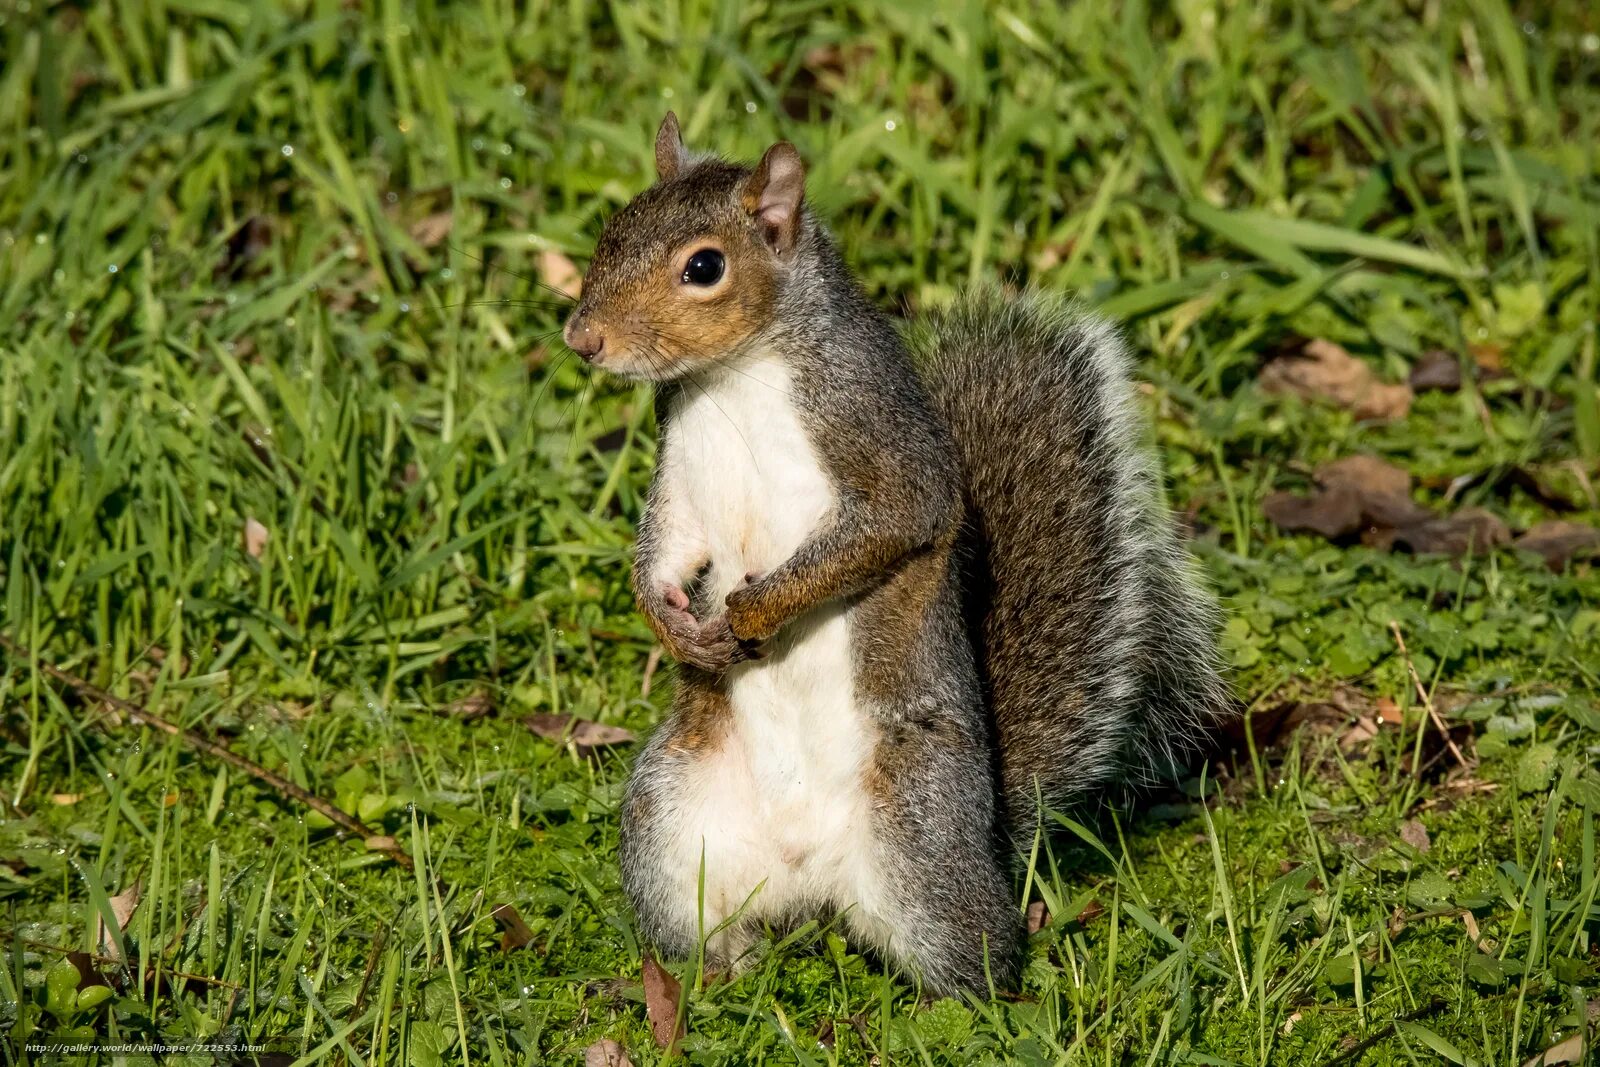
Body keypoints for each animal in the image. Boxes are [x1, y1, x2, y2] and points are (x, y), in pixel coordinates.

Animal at [560, 112, 1231, 996]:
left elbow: (883, 531)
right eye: (613, 229)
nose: (582, 338)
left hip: (919, 832)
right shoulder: (680, 474)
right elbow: (671, 547)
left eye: (704, 266)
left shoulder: (879, 440)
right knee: (711, 932)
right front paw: (670, 620)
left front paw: (753, 610)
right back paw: (705, 980)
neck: (731, 378)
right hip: (671, 824)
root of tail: (808, 878)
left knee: (974, 957)